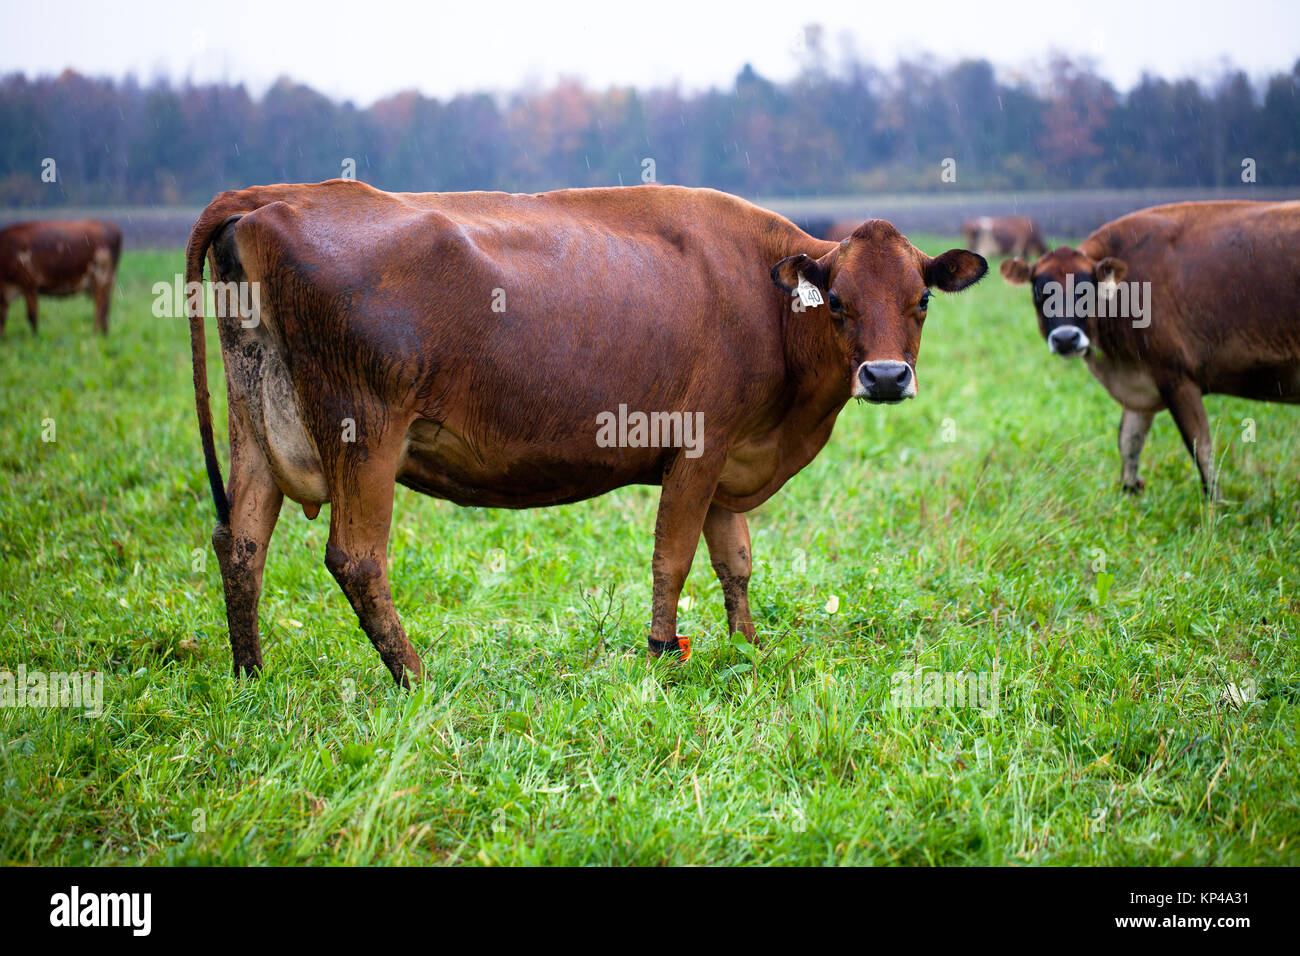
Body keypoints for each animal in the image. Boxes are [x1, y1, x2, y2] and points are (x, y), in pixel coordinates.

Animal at [185, 180, 987, 685]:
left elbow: (735, 561)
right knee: (355, 558)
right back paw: (414, 679)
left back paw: (250, 675)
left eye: (921, 300)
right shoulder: (697, 446)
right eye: (839, 303)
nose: (886, 376)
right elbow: (673, 560)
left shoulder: (730, 460)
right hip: (363, 432)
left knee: (242, 541)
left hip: (255, 419)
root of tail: (279, 194)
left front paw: (748, 647)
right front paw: (660, 656)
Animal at [1000, 200, 1300, 498]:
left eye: (1086, 290)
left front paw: (1216, 505)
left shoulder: (1174, 374)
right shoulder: (1142, 375)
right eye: (1039, 293)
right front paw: (1131, 494)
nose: (1065, 339)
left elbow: (1201, 450)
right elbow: (1128, 443)